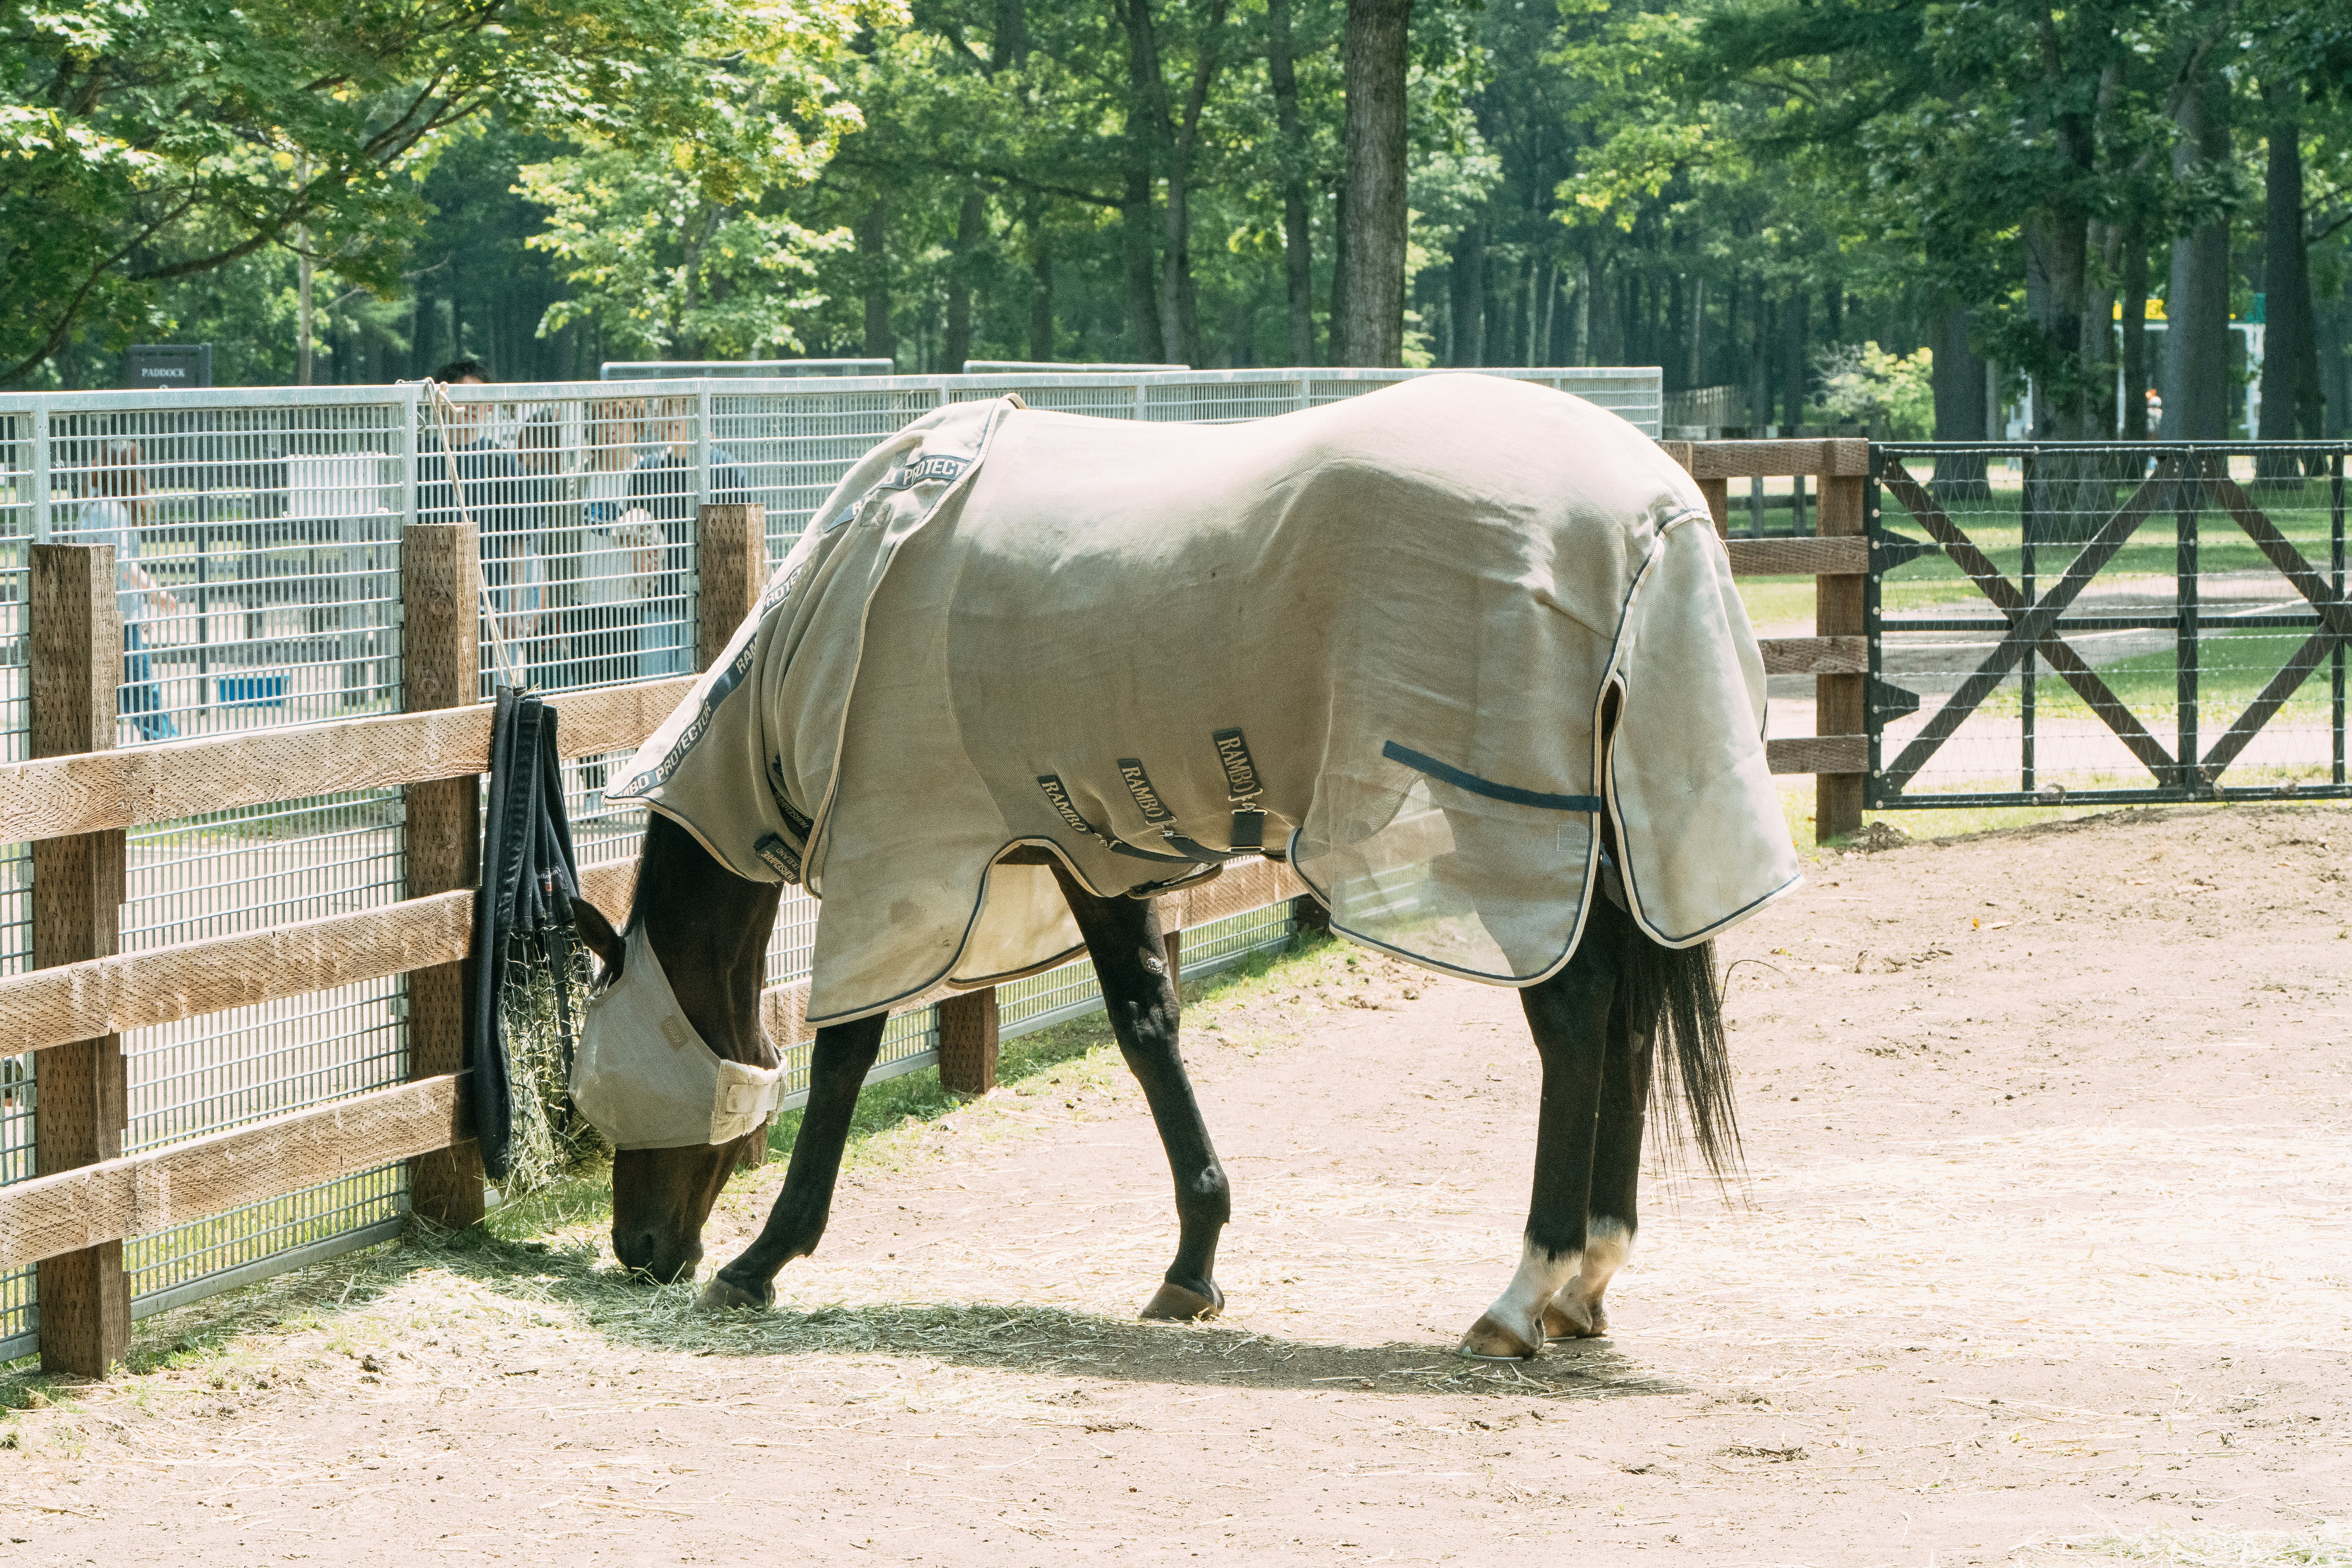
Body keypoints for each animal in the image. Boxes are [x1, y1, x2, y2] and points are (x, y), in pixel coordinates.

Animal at [565, 374, 1796, 1359]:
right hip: (1603, 857)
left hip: (1519, 844)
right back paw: (1587, 1280)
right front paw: (1192, 1262)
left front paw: (764, 1259)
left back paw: (1522, 1291)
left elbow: (847, 1054)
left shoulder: (897, 865)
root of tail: (1656, 516)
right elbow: (1147, 1026)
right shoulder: (1089, 852)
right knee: (1626, 1022)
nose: (642, 1247)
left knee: (1578, 1020)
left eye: (587, 1088)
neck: (843, 594)